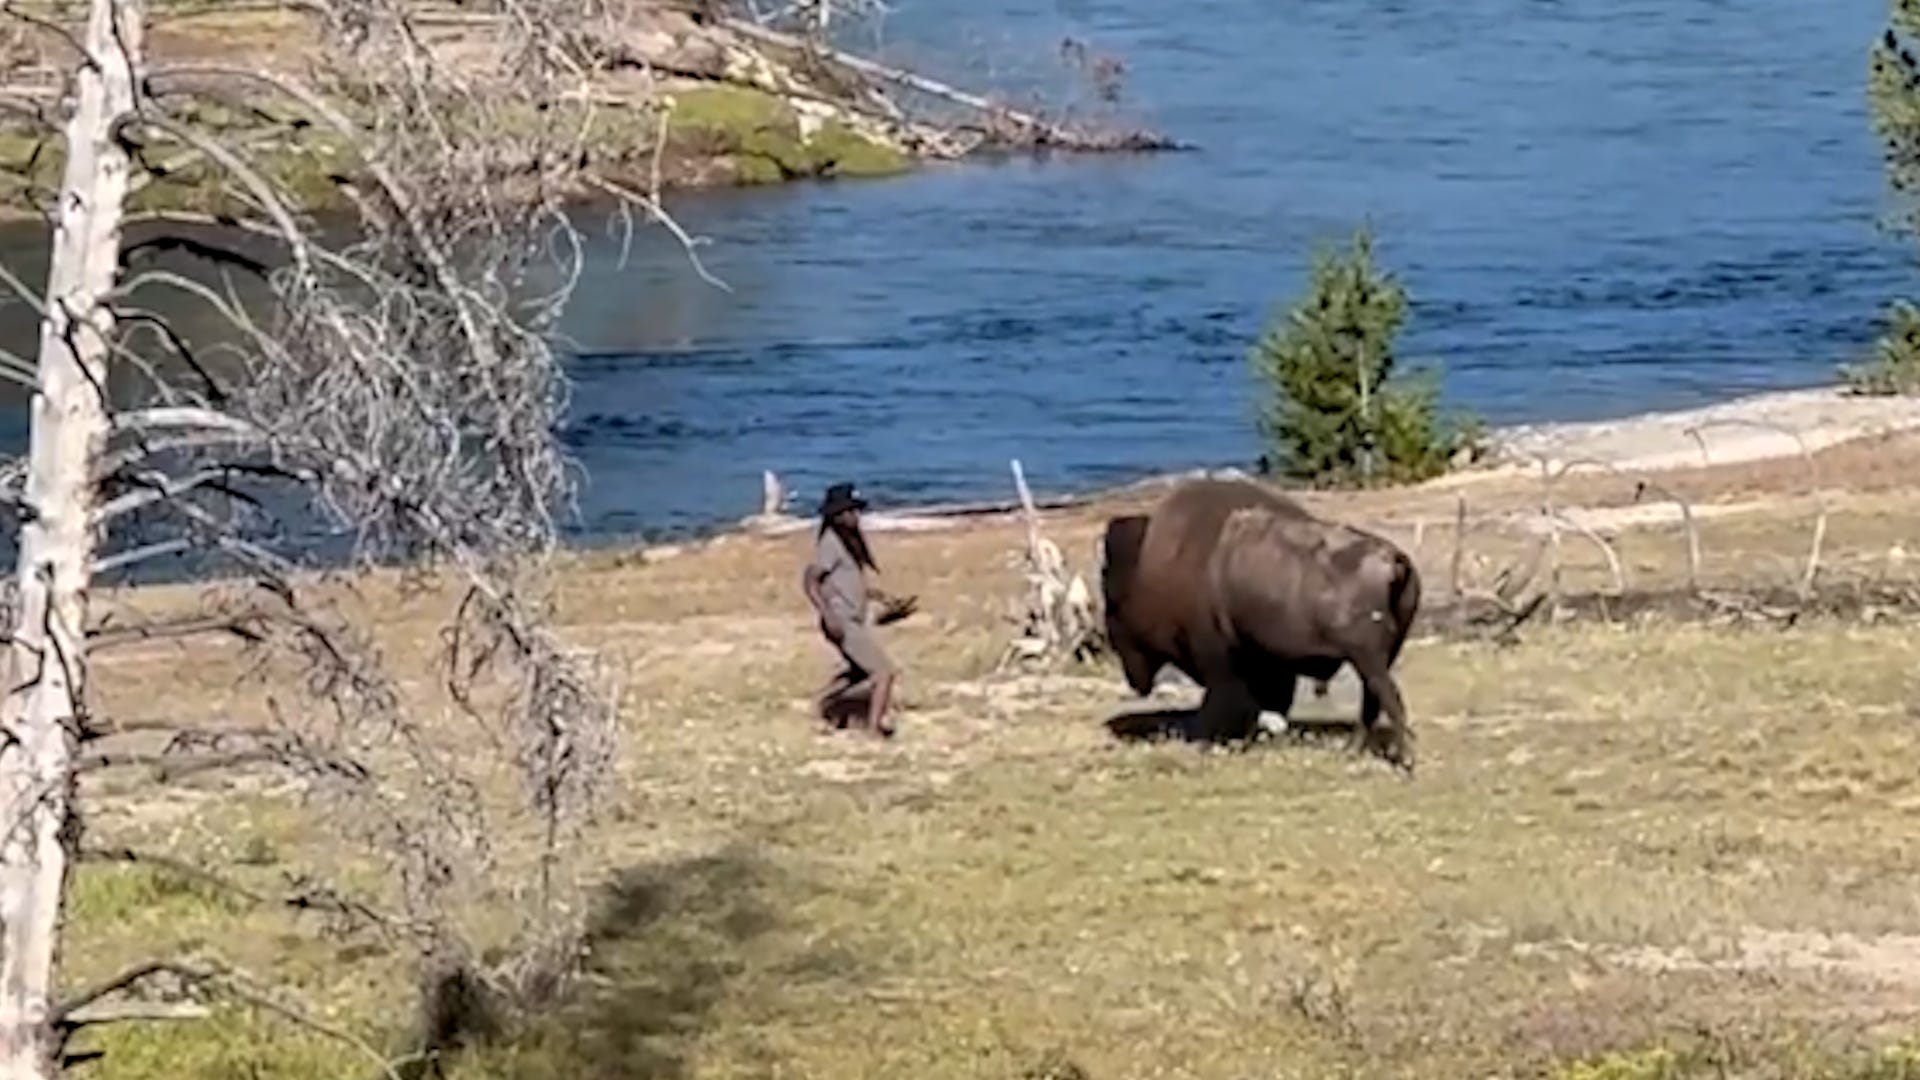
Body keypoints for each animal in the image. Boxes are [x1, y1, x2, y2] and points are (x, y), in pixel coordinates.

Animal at [1100, 477, 1422, 771]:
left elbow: (1225, 699)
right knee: (1373, 702)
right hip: (1377, 658)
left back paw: (1403, 759)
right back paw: (1354, 750)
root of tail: (1394, 560)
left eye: (1112, 606)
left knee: (1389, 699)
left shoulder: (1221, 661)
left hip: (1367, 658)